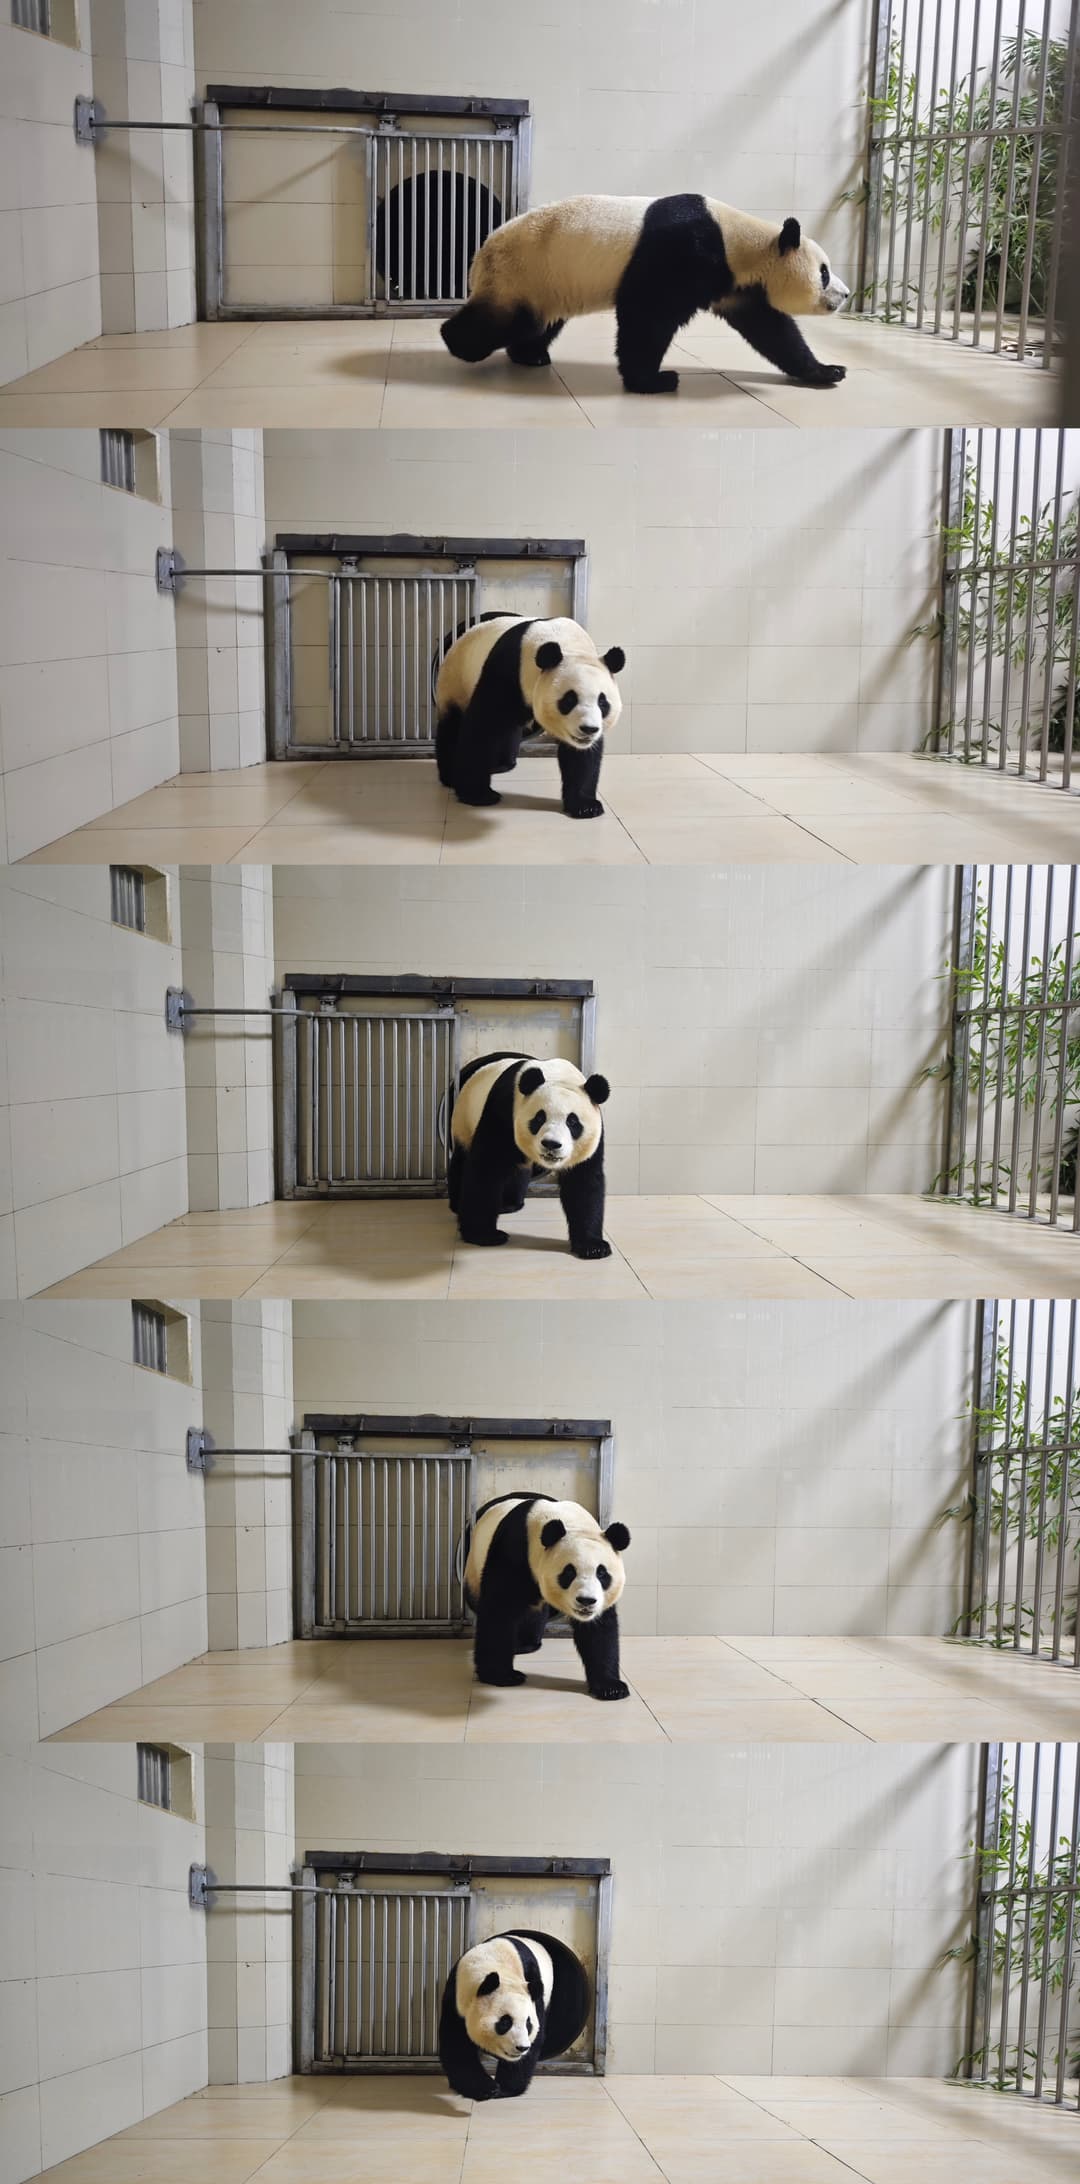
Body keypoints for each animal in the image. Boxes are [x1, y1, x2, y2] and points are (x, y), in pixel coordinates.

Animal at [436, 615, 626, 818]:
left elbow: (582, 757)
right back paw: (450, 775)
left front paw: (585, 805)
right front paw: (478, 795)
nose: (588, 729)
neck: (568, 645)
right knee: (453, 726)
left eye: (603, 703)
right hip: (455, 680)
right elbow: (483, 727)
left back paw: (501, 765)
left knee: (509, 730)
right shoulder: (507, 670)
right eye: (569, 700)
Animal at [439, 1929, 591, 2102]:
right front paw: (485, 2089)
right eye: (505, 2022)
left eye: (528, 2024)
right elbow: (456, 2044)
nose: (521, 2047)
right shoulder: (455, 1998)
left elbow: (536, 2038)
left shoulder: (532, 1987)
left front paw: (505, 2089)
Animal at [440, 192, 850, 393]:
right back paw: (457, 343)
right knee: (503, 320)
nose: (845, 295)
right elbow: (648, 315)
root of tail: (480, 253)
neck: (740, 241)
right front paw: (655, 381)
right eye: (824, 272)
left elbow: (772, 331)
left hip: (547, 283)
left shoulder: (736, 284)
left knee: (537, 323)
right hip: (522, 271)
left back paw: (531, 355)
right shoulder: (684, 250)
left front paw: (826, 371)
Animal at [448, 1050, 611, 1258]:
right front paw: (484, 1235)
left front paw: (593, 1246)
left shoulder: (594, 1139)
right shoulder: (503, 1110)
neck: (558, 1076)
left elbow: (584, 1182)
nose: (551, 1144)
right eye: (539, 1118)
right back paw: (457, 1204)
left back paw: (509, 1204)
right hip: (463, 1118)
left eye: (573, 1122)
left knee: (518, 1170)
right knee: (462, 1160)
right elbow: (486, 1168)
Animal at [464, 1491, 631, 1700]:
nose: (586, 1601)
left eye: (602, 1573)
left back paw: (526, 1644)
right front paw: (502, 1676)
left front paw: (611, 1687)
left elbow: (599, 1630)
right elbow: (498, 1610)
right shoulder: (514, 1550)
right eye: (569, 1572)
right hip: (473, 1565)